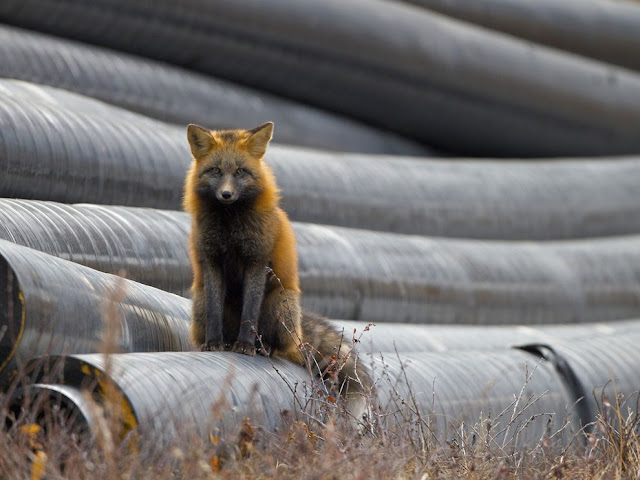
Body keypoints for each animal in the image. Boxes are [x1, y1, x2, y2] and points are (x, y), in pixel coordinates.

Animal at [183, 121, 370, 421]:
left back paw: (264, 348)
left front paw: (246, 347)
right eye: (216, 171)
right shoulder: (211, 261)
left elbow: (250, 312)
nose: (226, 194)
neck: (229, 225)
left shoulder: (257, 261)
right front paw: (214, 343)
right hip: (198, 301)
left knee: (281, 349)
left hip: (280, 302)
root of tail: (298, 337)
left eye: (240, 172)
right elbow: (214, 310)